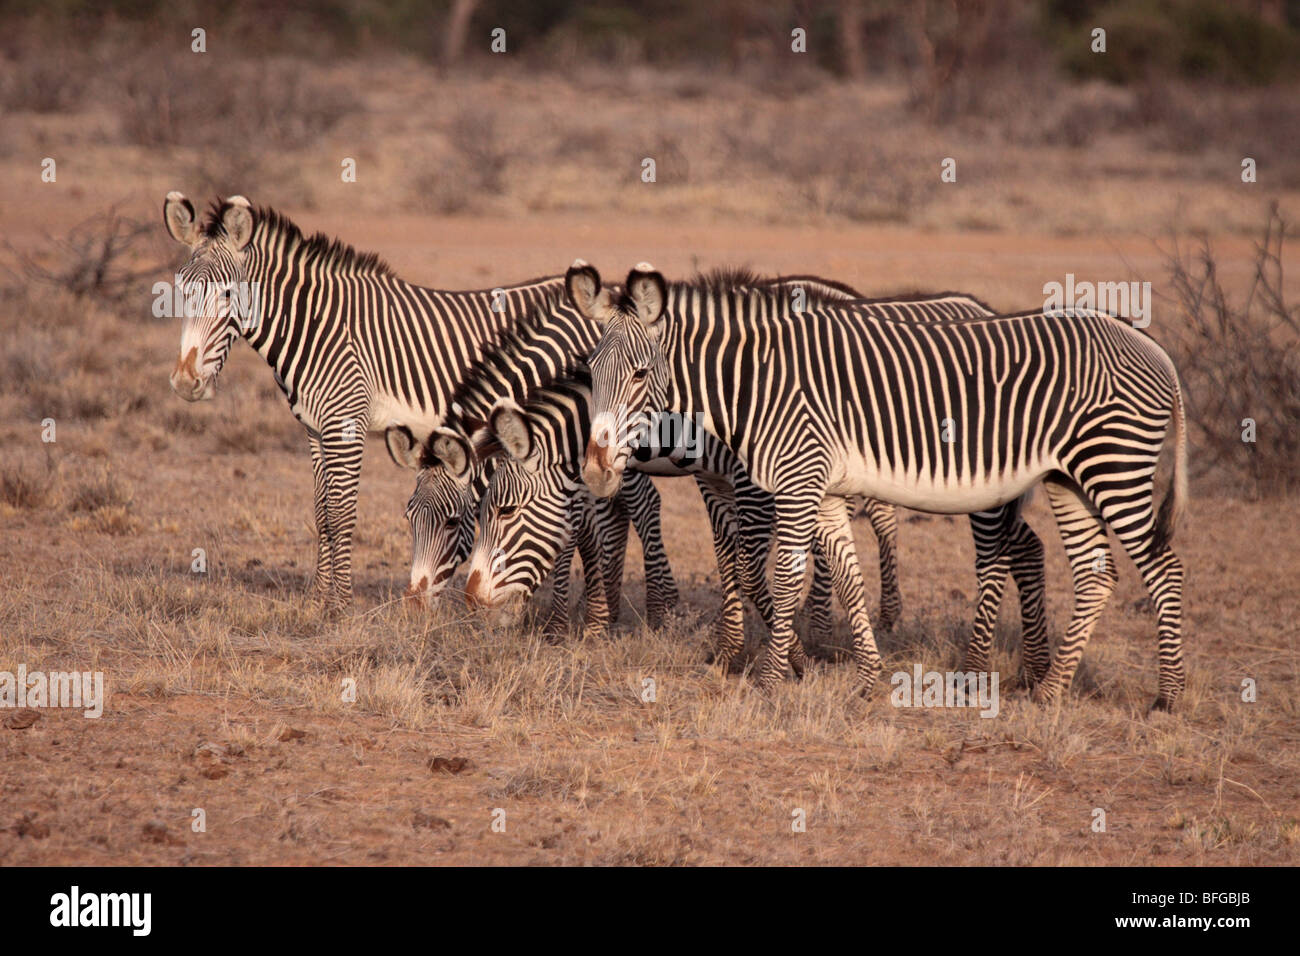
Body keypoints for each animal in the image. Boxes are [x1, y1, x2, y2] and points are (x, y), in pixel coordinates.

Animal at [159, 192, 677, 616]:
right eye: (180, 289)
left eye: (229, 294)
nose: (185, 382)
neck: (318, 325)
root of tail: (615, 300)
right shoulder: (314, 427)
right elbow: (321, 511)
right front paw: (318, 600)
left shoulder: (345, 422)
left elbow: (342, 512)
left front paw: (339, 607)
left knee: (639, 499)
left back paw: (651, 609)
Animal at [579, 264, 1190, 711]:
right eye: (590, 369)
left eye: (639, 374)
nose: (596, 469)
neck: (756, 381)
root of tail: (1151, 344)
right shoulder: (822, 492)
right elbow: (848, 580)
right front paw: (868, 679)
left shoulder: (794, 482)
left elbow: (781, 578)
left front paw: (772, 680)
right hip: (1070, 479)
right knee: (1095, 576)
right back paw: (1050, 690)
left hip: (1114, 465)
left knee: (1163, 569)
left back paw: (1167, 697)